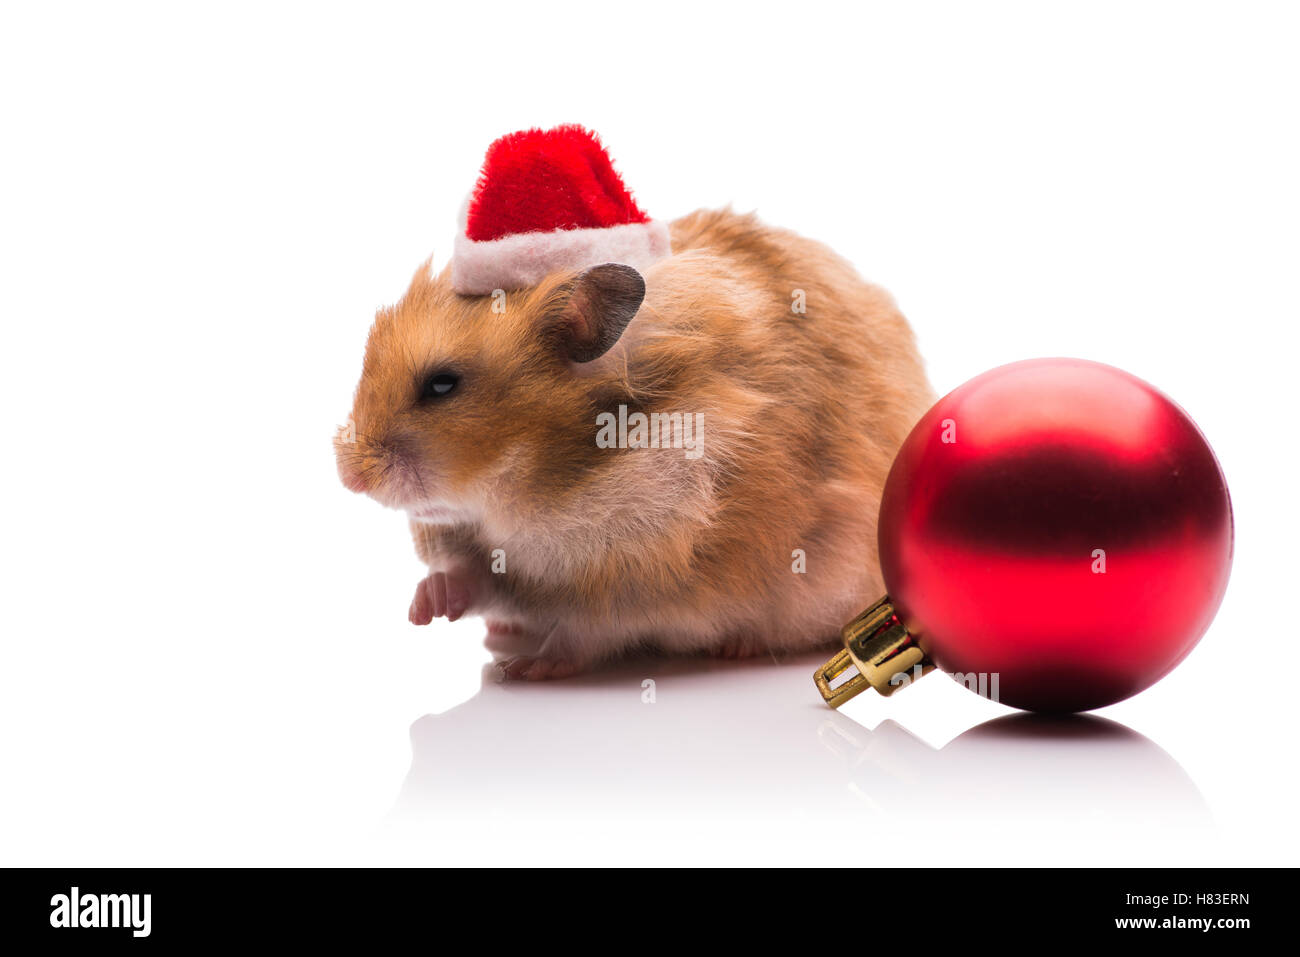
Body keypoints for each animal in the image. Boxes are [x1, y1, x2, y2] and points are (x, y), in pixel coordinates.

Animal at [335, 208, 934, 679]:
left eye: (442, 385)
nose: (350, 478)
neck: (526, 494)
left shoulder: (638, 577)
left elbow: (583, 632)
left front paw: (527, 670)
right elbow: (468, 574)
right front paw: (424, 610)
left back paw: (735, 648)